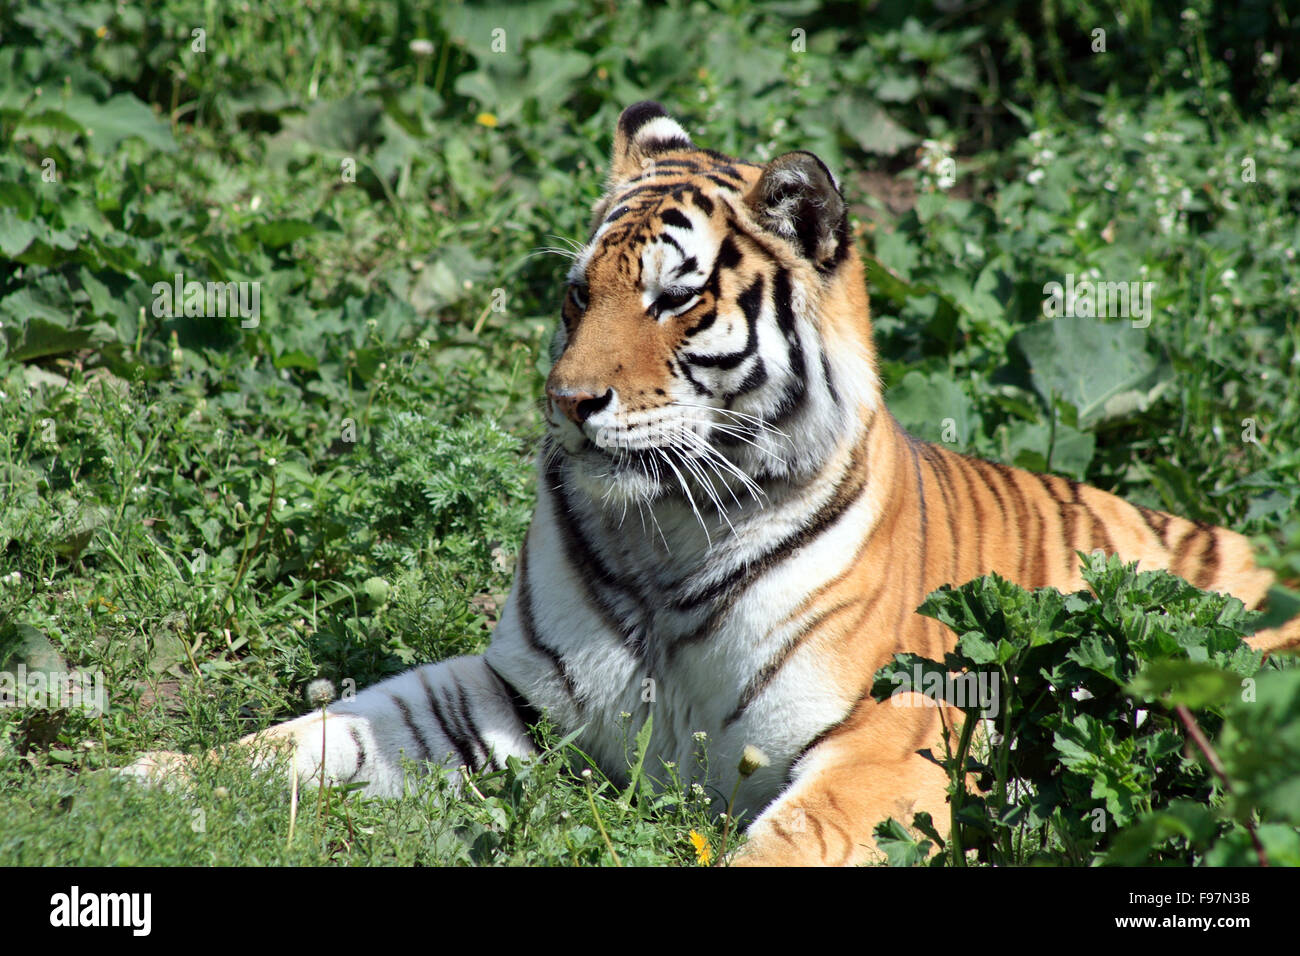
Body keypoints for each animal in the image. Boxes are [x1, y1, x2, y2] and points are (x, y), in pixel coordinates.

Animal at [129, 101, 1300, 866]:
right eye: (576, 295)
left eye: (676, 300)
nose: (567, 402)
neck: (661, 538)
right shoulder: (517, 693)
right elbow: (318, 731)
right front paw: (145, 782)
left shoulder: (899, 726)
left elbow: (799, 838)